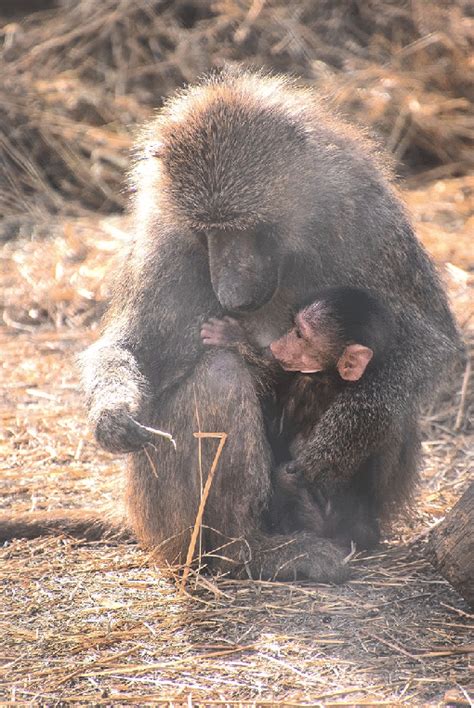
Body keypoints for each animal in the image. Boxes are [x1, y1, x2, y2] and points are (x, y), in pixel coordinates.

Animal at [201, 286, 407, 550]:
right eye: (293, 327)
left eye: (299, 334)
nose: (281, 340)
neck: (334, 377)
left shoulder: (308, 389)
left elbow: (275, 426)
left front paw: (235, 338)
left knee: (287, 479)